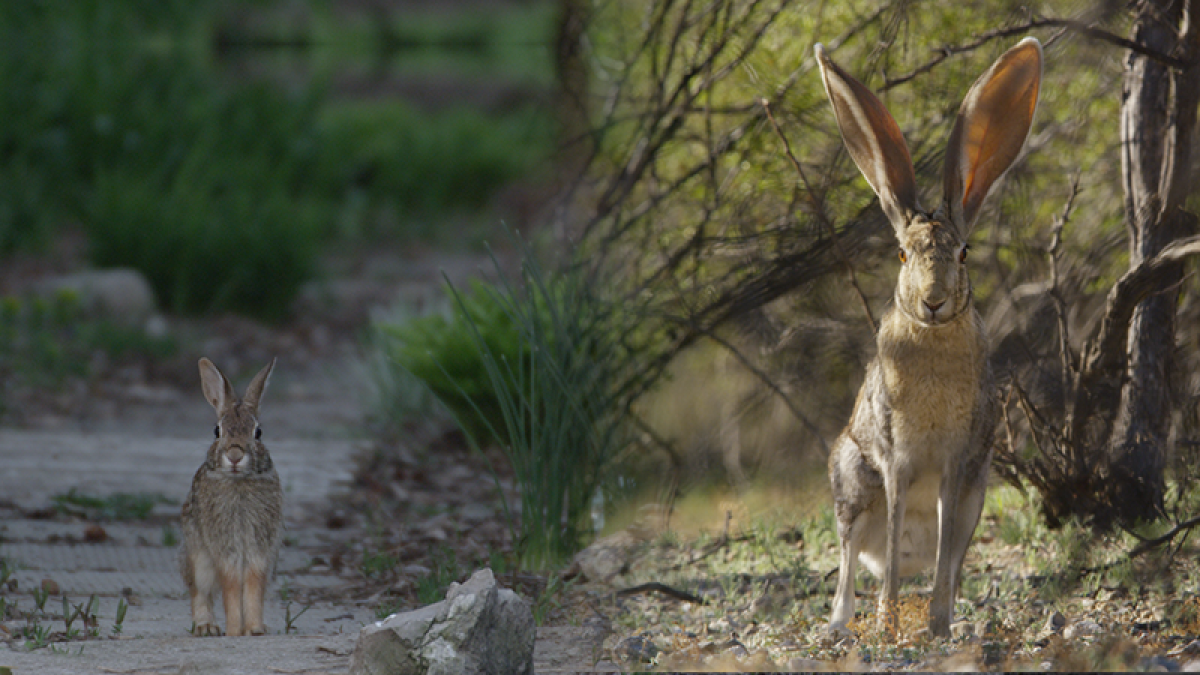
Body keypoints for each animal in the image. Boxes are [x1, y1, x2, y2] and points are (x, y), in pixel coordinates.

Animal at [180, 357, 283, 637]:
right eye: (217, 431)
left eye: (258, 432)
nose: (235, 455)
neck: (239, 482)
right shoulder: (225, 547)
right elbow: (231, 585)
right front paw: (235, 631)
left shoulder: (260, 549)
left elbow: (253, 584)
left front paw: (255, 629)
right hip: (197, 559)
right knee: (199, 592)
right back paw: (206, 627)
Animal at [814, 37, 1042, 638]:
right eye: (900, 254)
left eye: (962, 253)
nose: (933, 301)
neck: (934, 337)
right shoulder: (897, 458)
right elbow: (892, 539)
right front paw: (888, 622)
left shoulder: (957, 462)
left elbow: (946, 560)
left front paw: (937, 625)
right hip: (852, 481)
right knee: (852, 560)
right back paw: (843, 623)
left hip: (976, 495)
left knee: (946, 551)